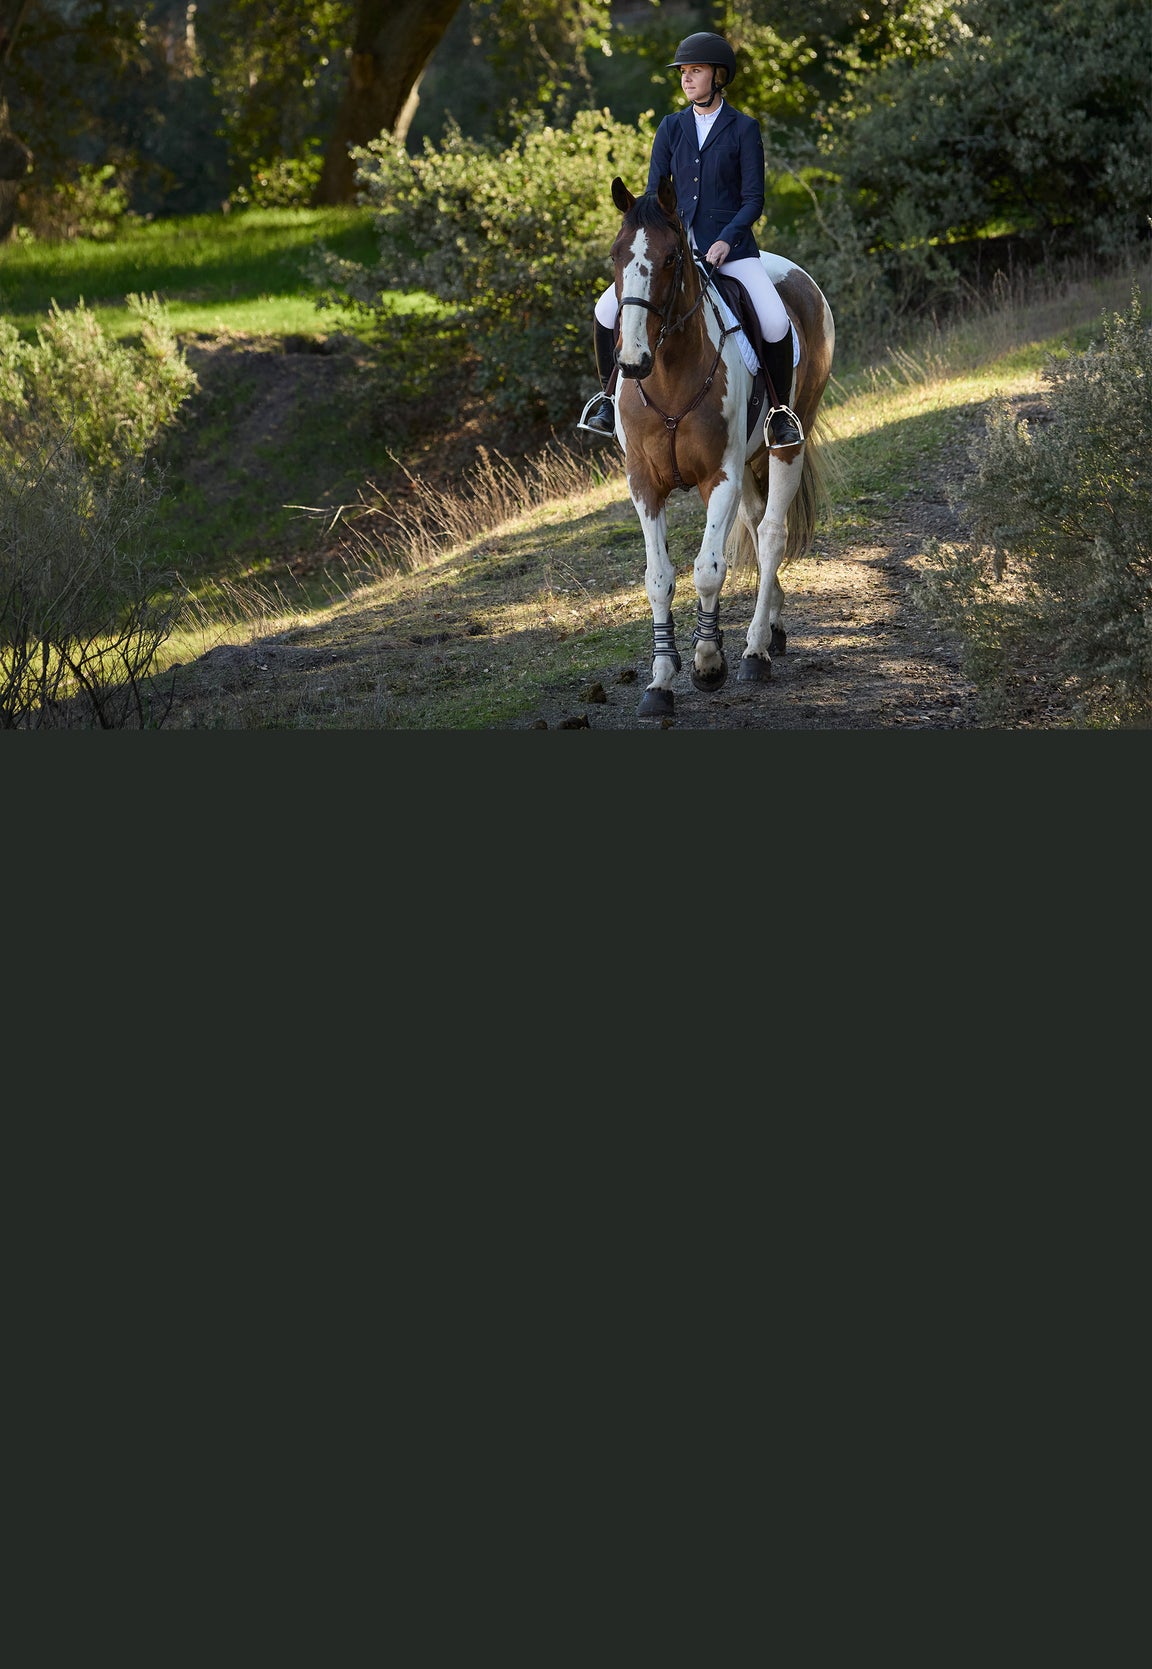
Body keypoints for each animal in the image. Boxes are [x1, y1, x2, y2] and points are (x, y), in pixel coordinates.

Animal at [606, 174, 835, 719]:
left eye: (671, 258)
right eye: (616, 255)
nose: (631, 361)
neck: (668, 373)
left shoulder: (720, 477)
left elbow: (709, 569)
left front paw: (709, 663)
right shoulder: (644, 483)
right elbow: (658, 577)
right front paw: (660, 681)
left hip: (785, 445)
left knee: (770, 532)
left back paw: (755, 651)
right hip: (750, 461)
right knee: (753, 523)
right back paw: (771, 627)